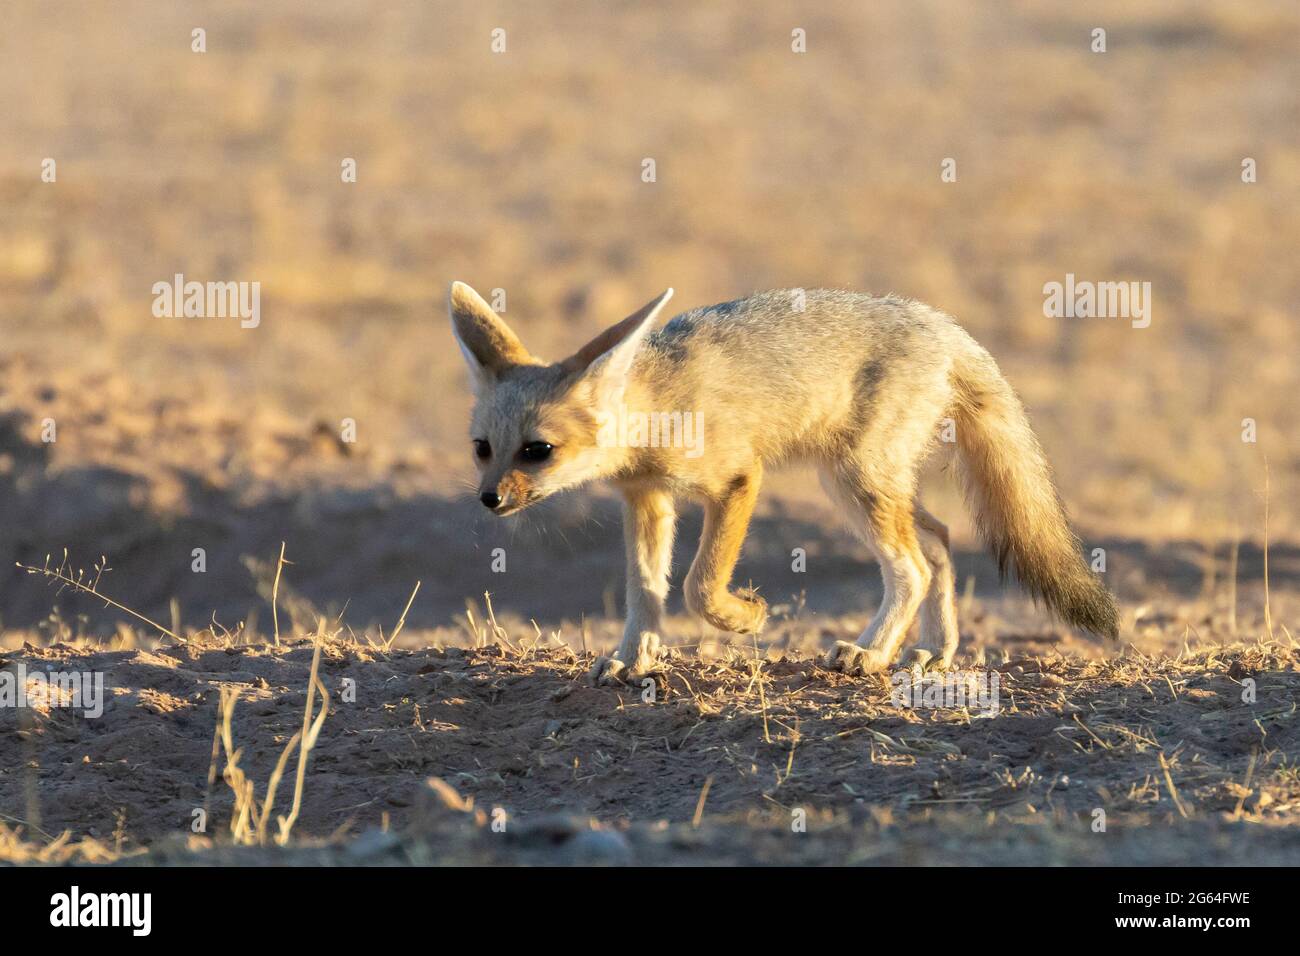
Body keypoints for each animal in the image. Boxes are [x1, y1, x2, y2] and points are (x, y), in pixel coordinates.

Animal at [446, 281, 1118, 685]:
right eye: (483, 449)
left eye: (537, 451)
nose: (490, 499)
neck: (657, 405)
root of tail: (942, 323)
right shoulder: (647, 499)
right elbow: (645, 589)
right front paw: (632, 657)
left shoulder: (738, 480)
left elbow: (696, 585)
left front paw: (744, 617)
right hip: (868, 485)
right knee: (940, 541)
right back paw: (932, 650)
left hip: (855, 482)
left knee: (913, 567)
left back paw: (872, 653)